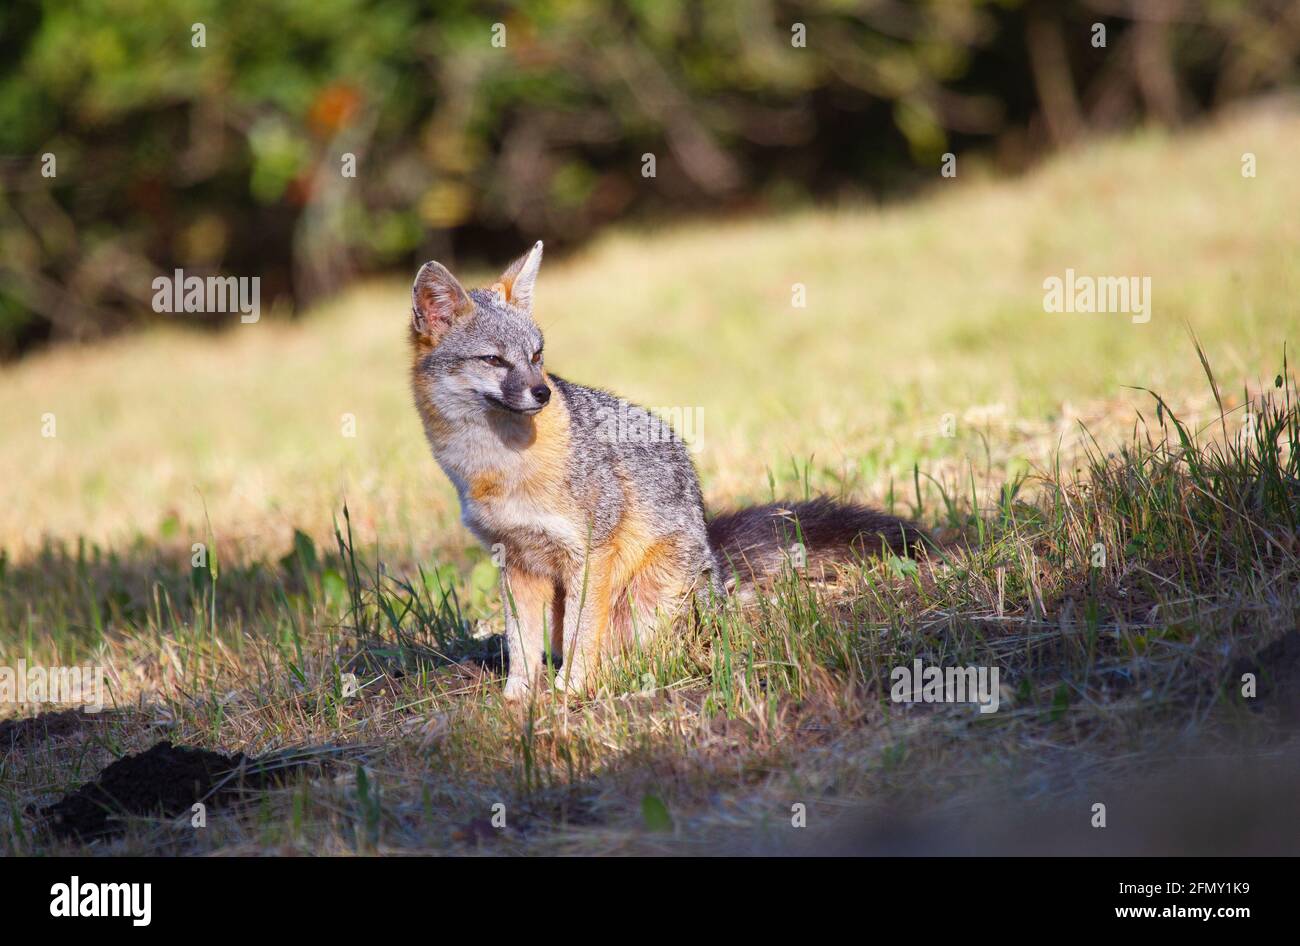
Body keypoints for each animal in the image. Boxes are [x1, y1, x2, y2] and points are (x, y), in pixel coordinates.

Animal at [409, 242, 925, 699]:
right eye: (494, 360)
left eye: (537, 356)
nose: (543, 393)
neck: (499, 468)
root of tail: (716, 567)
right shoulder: (513, 560)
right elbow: (520, 646)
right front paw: (517, 698)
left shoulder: (590, 552)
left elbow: (581, 636)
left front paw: (571, 690)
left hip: (647, 601)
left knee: (644, 652)